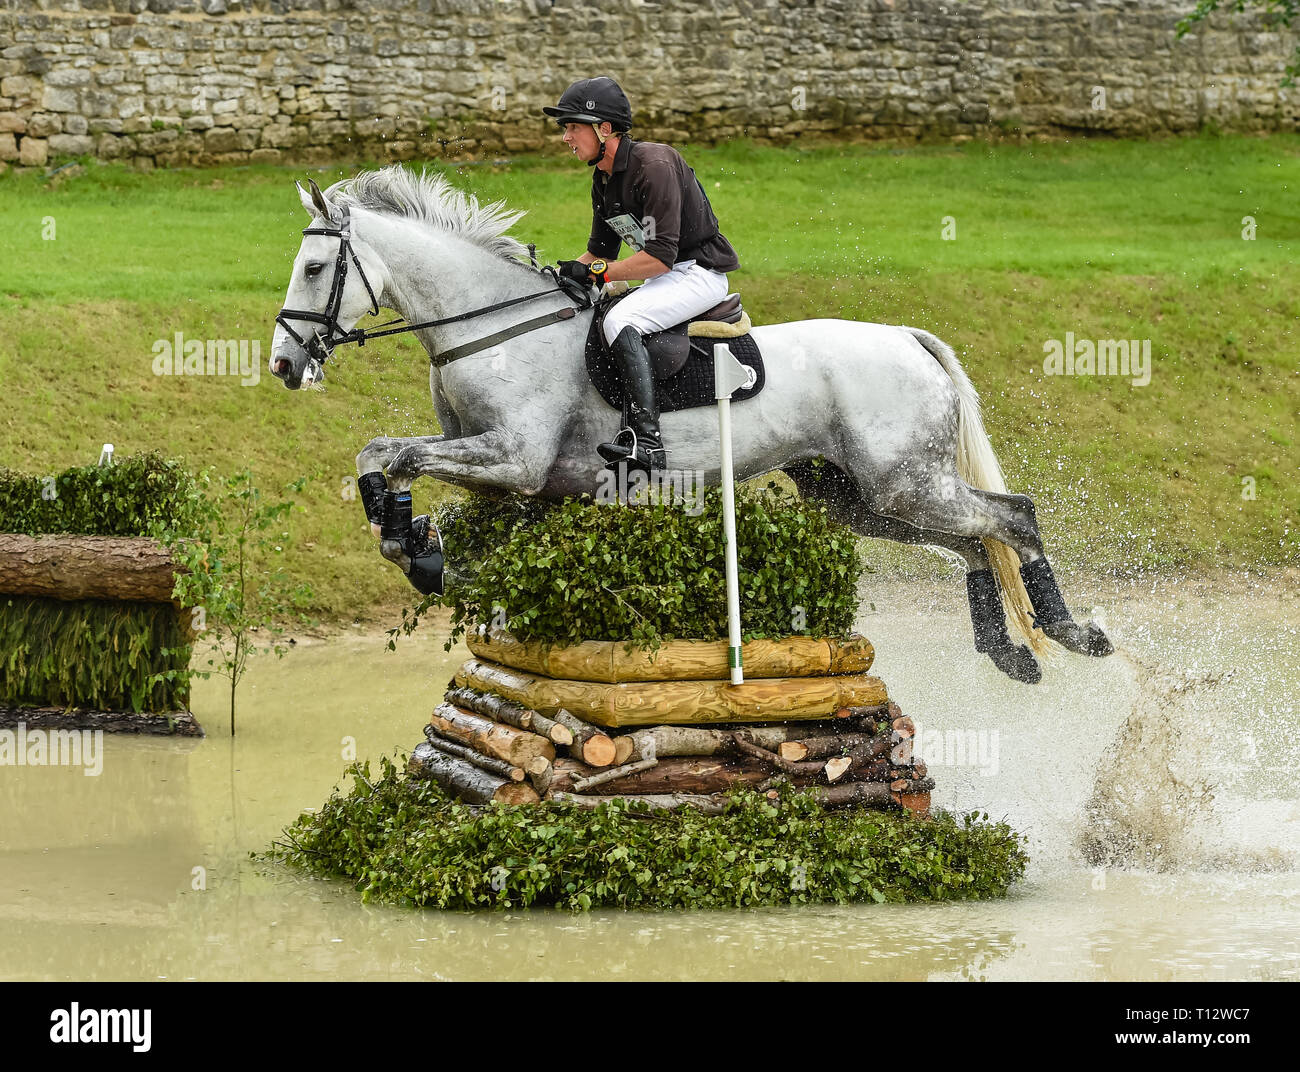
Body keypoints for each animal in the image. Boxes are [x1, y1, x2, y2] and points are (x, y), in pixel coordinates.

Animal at [269, 170, 1112, 680]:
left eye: (313, 269)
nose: (282, 363)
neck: (491, 328)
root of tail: (907, 338)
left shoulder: (513, 459)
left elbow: (394, 453)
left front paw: (408, 538)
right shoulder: (514, 480)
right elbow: (391, 460)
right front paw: (413, 544)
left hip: (906, 482)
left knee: (1013, 517)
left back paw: (1074, 633)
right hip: (862, 497)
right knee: (975, 541)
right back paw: (1008, 651)